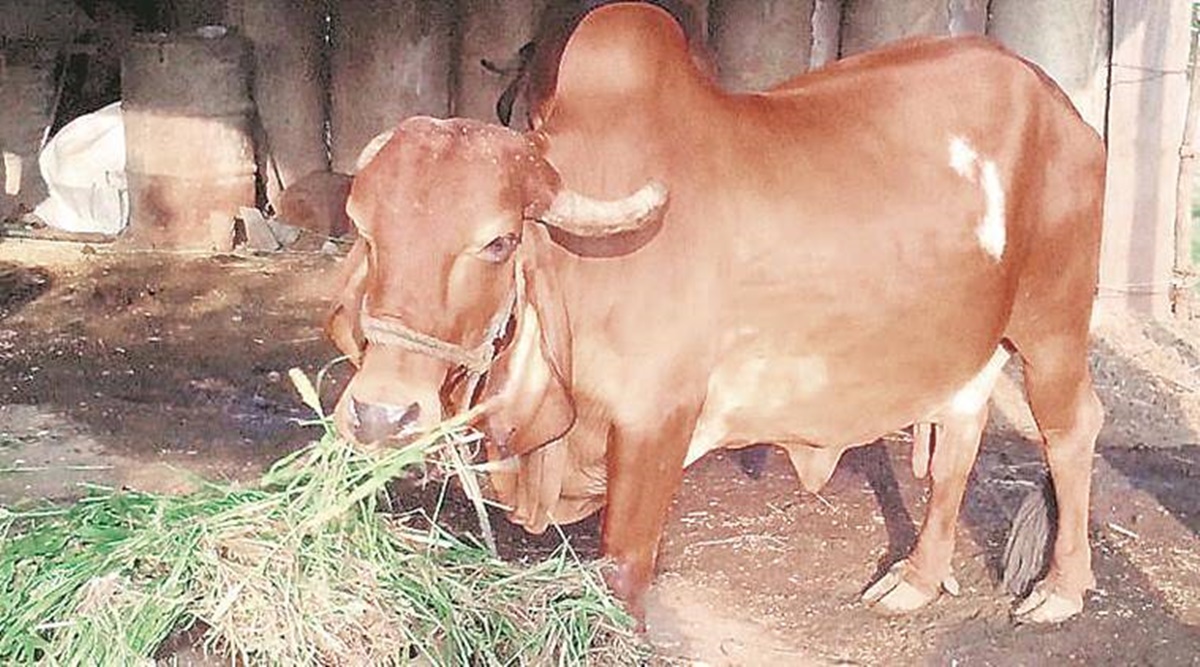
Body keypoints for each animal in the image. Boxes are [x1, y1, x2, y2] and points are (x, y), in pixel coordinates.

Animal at [328, 3, 1106, 626]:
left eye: (497, 241)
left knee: (1071, 430)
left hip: (1053, 323)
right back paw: (915, 579)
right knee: (960, 436)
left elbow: (623, 571)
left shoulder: (657, 424)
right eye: (363, 227)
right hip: (967, 344)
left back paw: (1061, 590)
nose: (381, 413)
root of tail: (1059, 108)